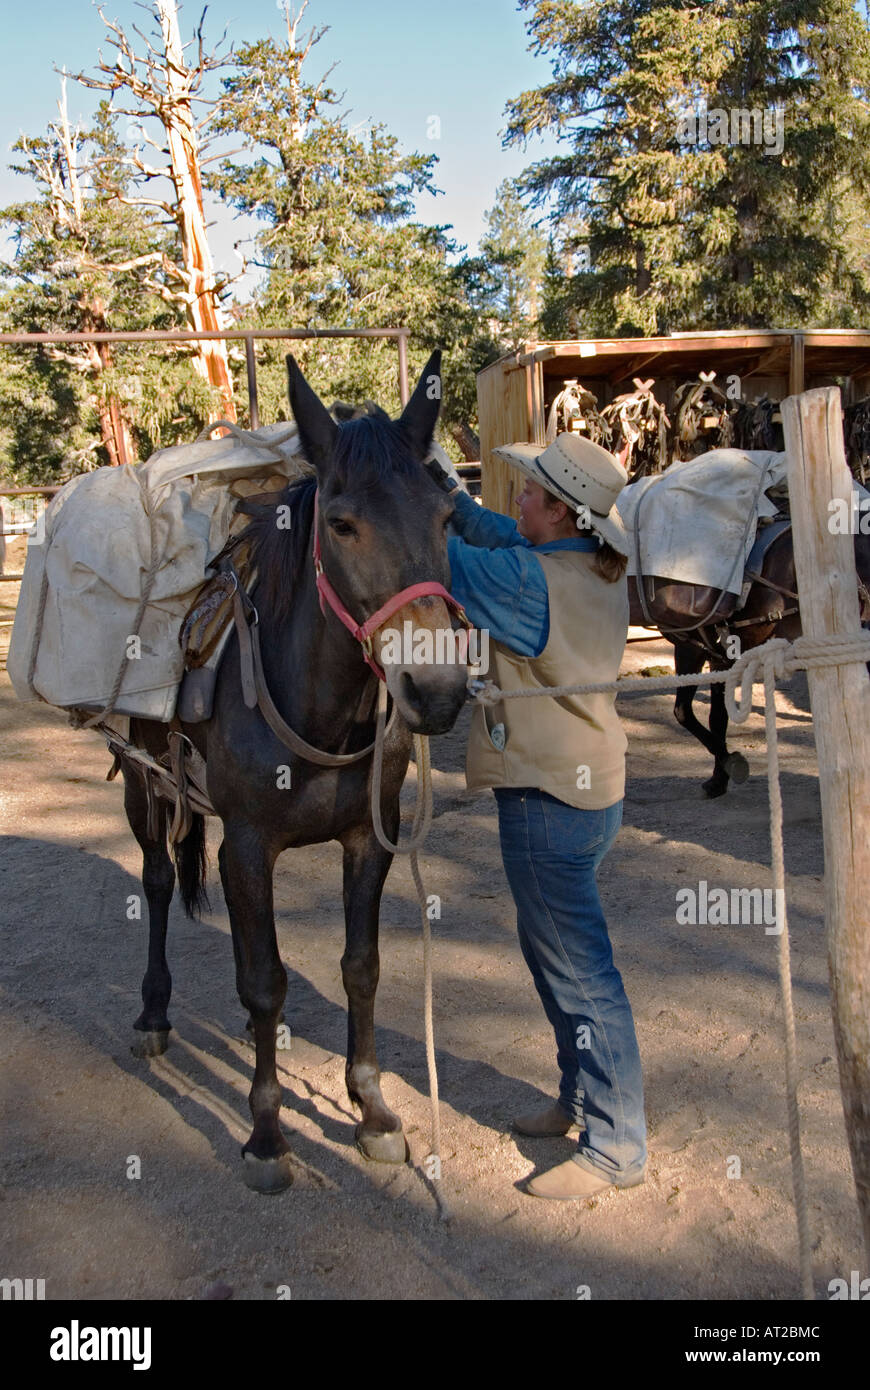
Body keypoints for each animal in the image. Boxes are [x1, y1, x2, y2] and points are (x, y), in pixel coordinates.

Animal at [117, 350, 469, 1193]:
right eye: (340, 523)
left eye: (446, 518)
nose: (436, 691)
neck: (318, 708)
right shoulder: (248, 847)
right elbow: (267, 981)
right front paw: (267, 1133)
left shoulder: (368, 840)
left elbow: (359, 968)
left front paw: (371, 1111)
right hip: (145, 786)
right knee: (157, 880)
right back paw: (154, 1013)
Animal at [629, 522, 870, 797]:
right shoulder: (718, 659)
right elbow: (716, 718)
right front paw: (718, 778)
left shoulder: (689, 648)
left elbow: (683, 712)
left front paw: (732, 763)